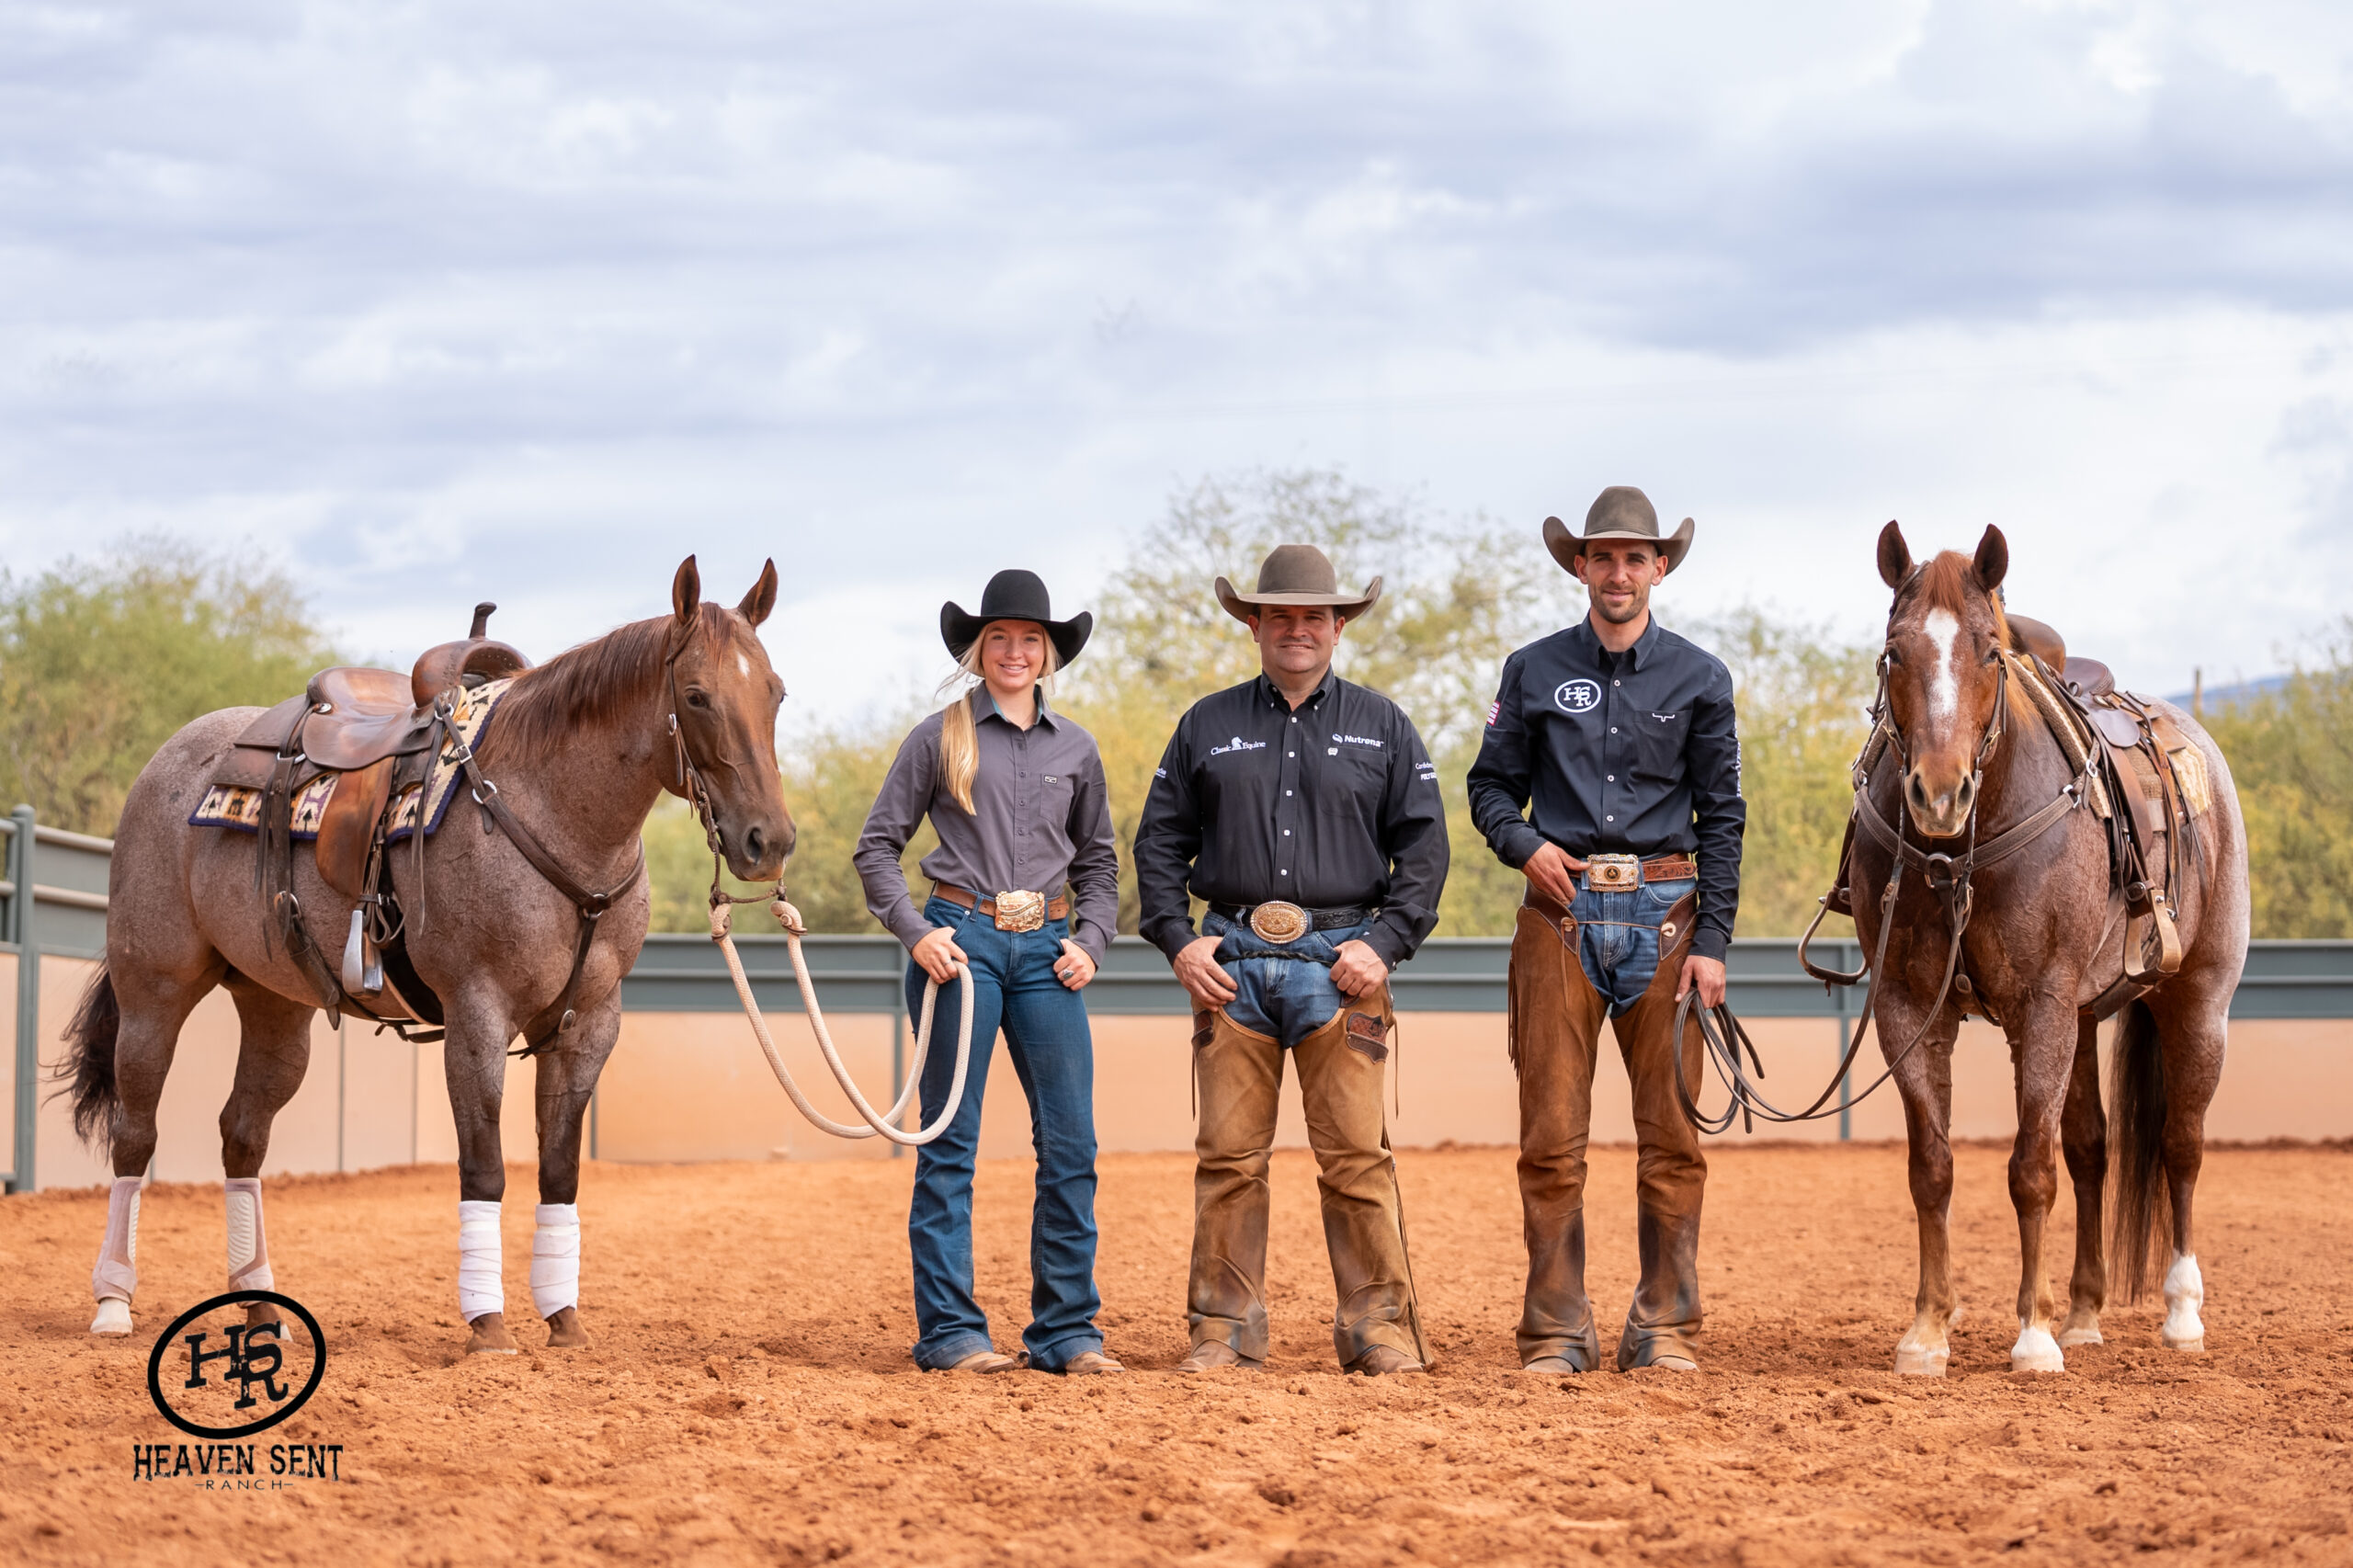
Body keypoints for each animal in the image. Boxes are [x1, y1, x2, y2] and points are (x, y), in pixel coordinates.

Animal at [58, 557, 792, 1354]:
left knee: (243, 1136)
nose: (769, 839)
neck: (550, 813)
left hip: (274, 1005)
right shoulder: (477, 1015)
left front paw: (564, 1322)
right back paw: (112, 1303)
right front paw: (489, 1326)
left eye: (776, 692)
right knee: (137, 1132)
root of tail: (167, 762)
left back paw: (258, 1309)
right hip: (154, 991)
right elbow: (485, 1167)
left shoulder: (590, 1023)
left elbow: (559, 1171)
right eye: (696, 695)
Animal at [1855, 524, 2247, 1375]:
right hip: (2085, 1016)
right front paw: (1928, 1330)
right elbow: (1933, 1168)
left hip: (2198, 999)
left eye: (1988, 651)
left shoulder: (2040, 1007)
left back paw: (2181, 1314)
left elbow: (2030, 1171)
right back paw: (2084, 1312)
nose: (1939, 794)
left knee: (2182, 1145)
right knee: (2092, 1149)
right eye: (1895, 651)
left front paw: (2030, 1338)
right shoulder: (1909, 1007)